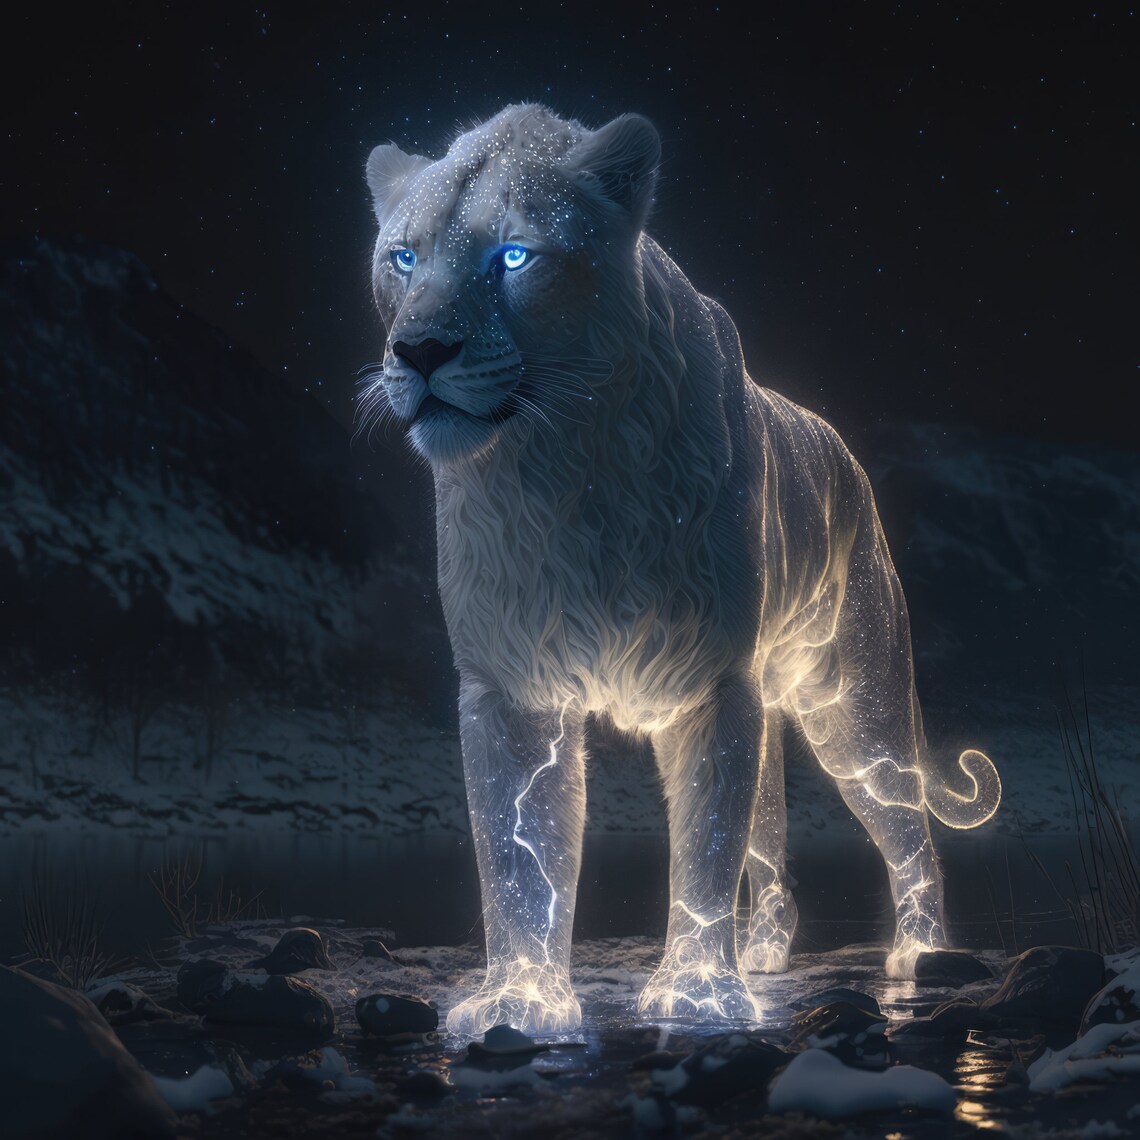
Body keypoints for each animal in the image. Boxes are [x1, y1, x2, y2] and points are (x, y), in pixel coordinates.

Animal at [361, 104, 1001, 1037]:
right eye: (403, 258)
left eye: (513, 256)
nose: (419, 351)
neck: (560, 470)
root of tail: (843, 453)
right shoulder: (512, 684)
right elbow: (517, 856)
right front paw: (521, 1001)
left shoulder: (708, 682)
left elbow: (703, 847)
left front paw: (697, 995)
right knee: (769, 832)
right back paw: (765, 954)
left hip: (855, 703)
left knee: (906, 824)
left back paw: (920, 952)